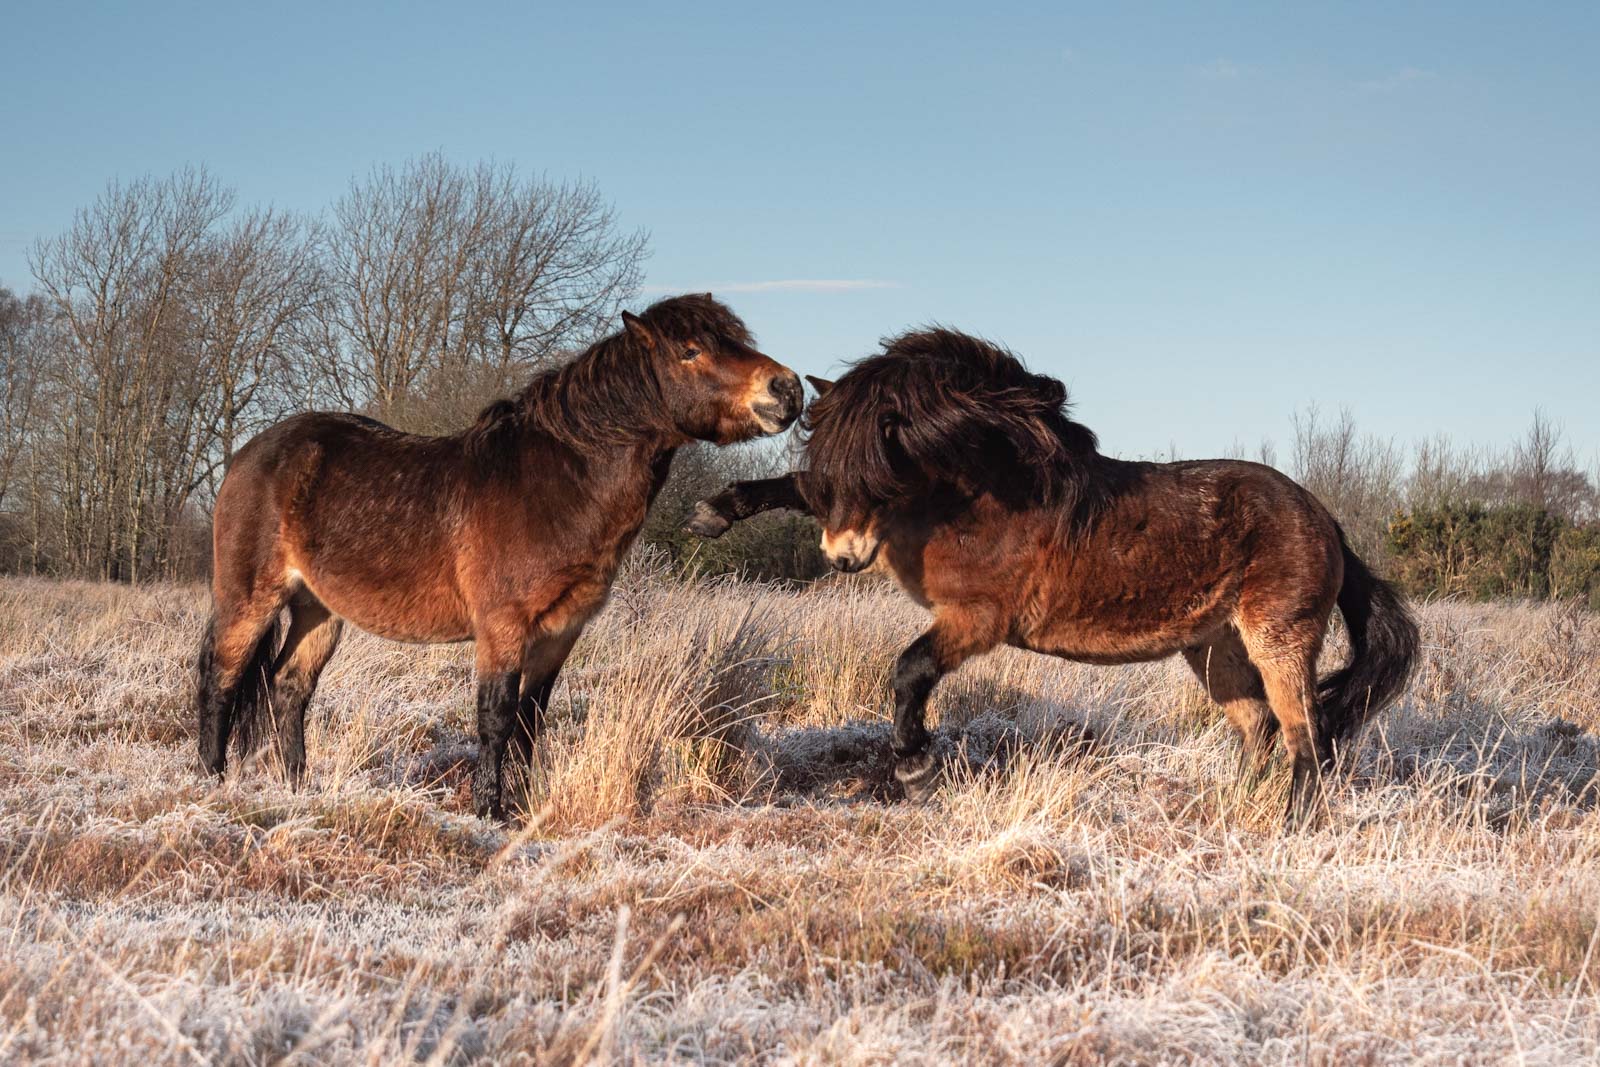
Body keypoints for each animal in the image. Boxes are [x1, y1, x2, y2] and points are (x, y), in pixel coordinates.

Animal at [196, 293, 803, 820]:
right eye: (691, 351)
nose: (787, 389)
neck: (553, 486)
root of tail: (250, 454)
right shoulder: (502, 627)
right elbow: (495, 719)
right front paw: (489, 813)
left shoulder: (559, 633)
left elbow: (530, 723)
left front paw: (525, 806)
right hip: (250, 599)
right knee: (221, 682)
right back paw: (211, 784)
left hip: (317, 610)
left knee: (288, 688)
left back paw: (300, 790)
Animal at [686, 328, 1418, 827]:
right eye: (827, 461)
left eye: (879, 472)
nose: (841, 558)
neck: (982, 493)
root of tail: (1325, 521)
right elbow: (793, 488)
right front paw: (713, 512)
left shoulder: (978, 618)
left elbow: (910, 670)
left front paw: (916, 769)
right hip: (1215, 649)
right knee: (1258, 726)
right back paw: (1230, 806)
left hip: (1278, 641)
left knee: (1306, 735)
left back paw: (1291, 827)